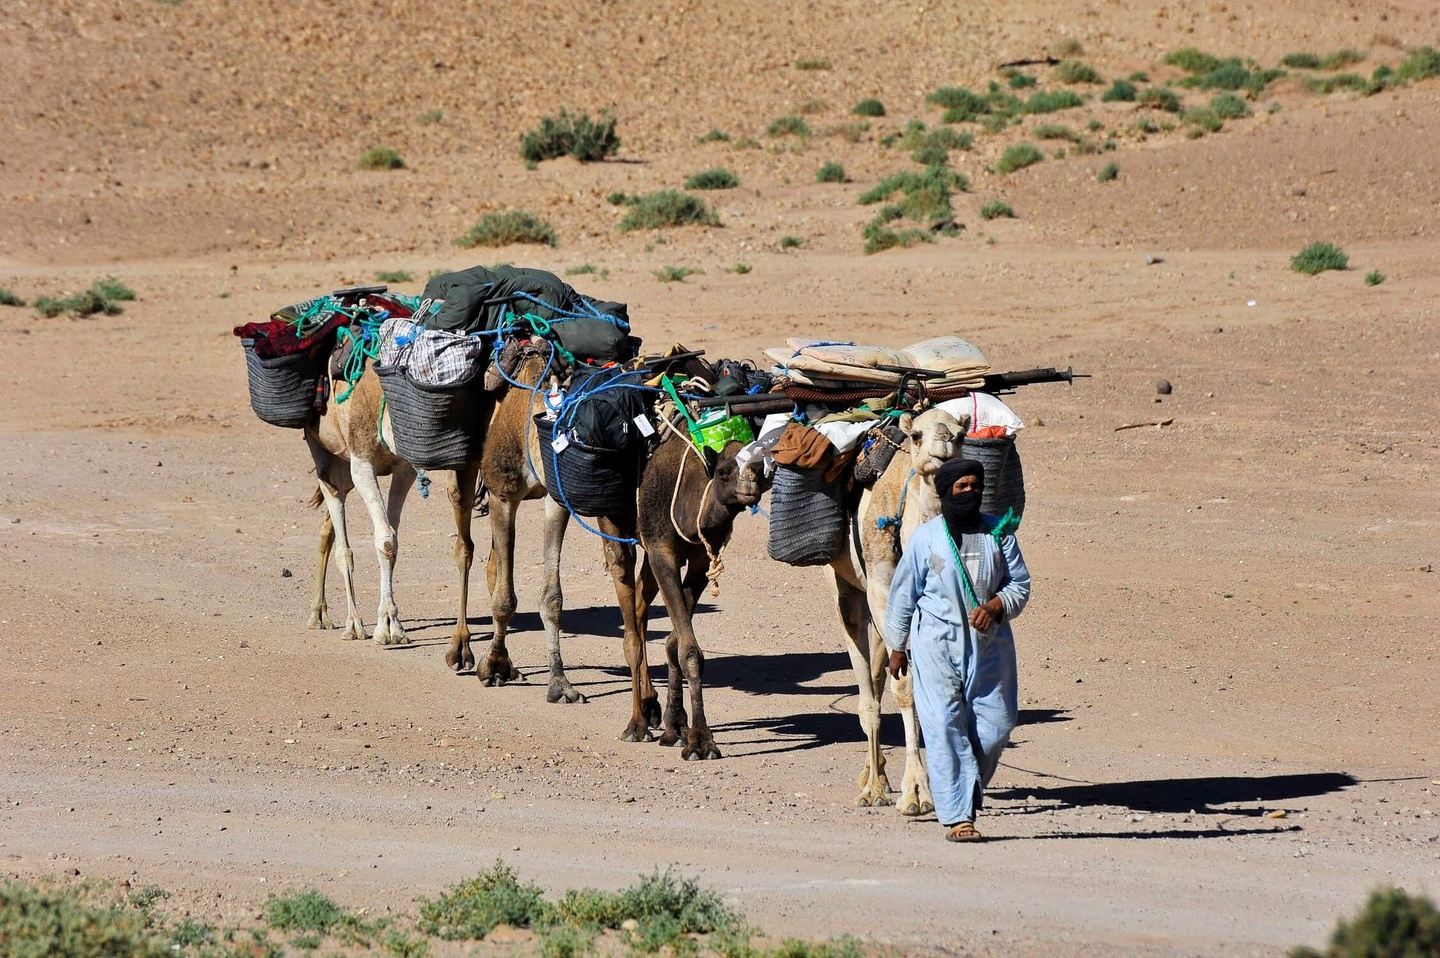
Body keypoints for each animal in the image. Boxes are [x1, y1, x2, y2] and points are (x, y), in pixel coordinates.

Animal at [829, 406, 964, 814]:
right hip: (847, 585)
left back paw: (874, 775)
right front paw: (916, 793)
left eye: (960, 434)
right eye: (917, 435)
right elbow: (904, 685)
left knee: (874, 674)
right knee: (866, 680)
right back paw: (873, 785)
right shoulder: (882, 585)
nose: (943, 448)